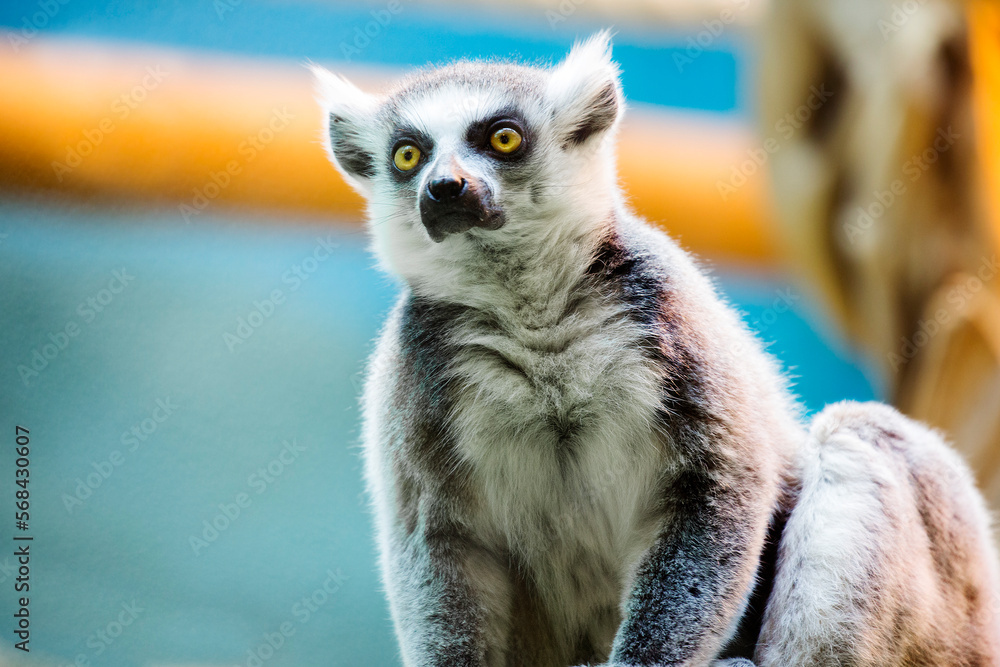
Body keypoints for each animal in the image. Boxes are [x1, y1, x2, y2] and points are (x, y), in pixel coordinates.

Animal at [312, 32, 1000, 667]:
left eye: (503, 138)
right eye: (408, 154)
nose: (444, 188)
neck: (531, 313)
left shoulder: (667, 312)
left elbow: (715, 488)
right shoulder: (417, 374)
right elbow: (440, 539)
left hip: (949, 613)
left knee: (861, 433)